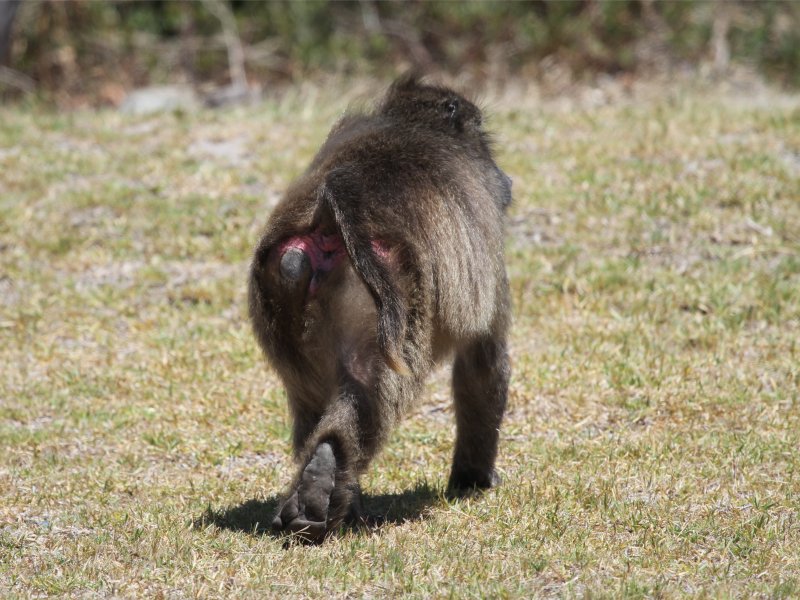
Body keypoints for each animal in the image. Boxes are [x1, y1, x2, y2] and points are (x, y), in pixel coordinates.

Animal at [248, 74, 512, 543]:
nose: (506, 180)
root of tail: (329, 210)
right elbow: (483, 365)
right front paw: (473, 480)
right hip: (394, 298)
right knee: (371, 390)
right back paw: (327, 481)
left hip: (279, 300)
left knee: (312, 400)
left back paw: (323, 496)